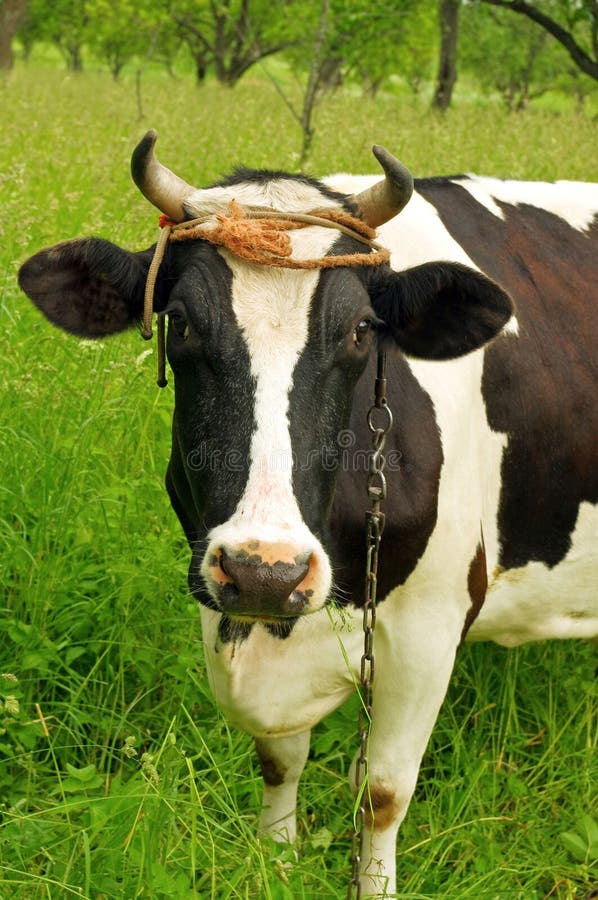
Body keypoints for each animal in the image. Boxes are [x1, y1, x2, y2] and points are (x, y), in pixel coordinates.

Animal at [18, 131, 598, 898]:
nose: (265, 570)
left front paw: (372, 885)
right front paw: (275, 859)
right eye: (180, 322)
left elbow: (382, 791)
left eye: (359, 330)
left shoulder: (430, 627)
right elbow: (279, 758)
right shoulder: (228, 610)